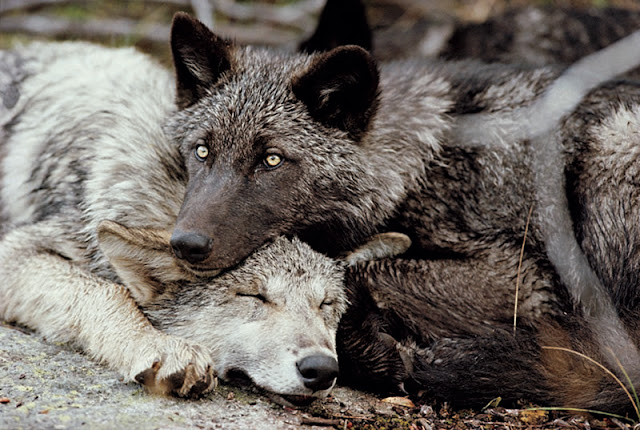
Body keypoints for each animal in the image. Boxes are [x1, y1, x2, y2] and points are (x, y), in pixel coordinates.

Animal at [0, 40, 409, 402]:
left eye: (325, 304)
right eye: (253, 296)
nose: (321, 369)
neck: (174, 194)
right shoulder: (18, 251)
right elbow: (110, 292)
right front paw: (163, 346)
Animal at [166, 14, 640, 411]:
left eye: (272, 160)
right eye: (202, 151)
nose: (185, 244)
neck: (420, 163)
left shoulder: (526, 278)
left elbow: (357, 271)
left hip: (616, 141)